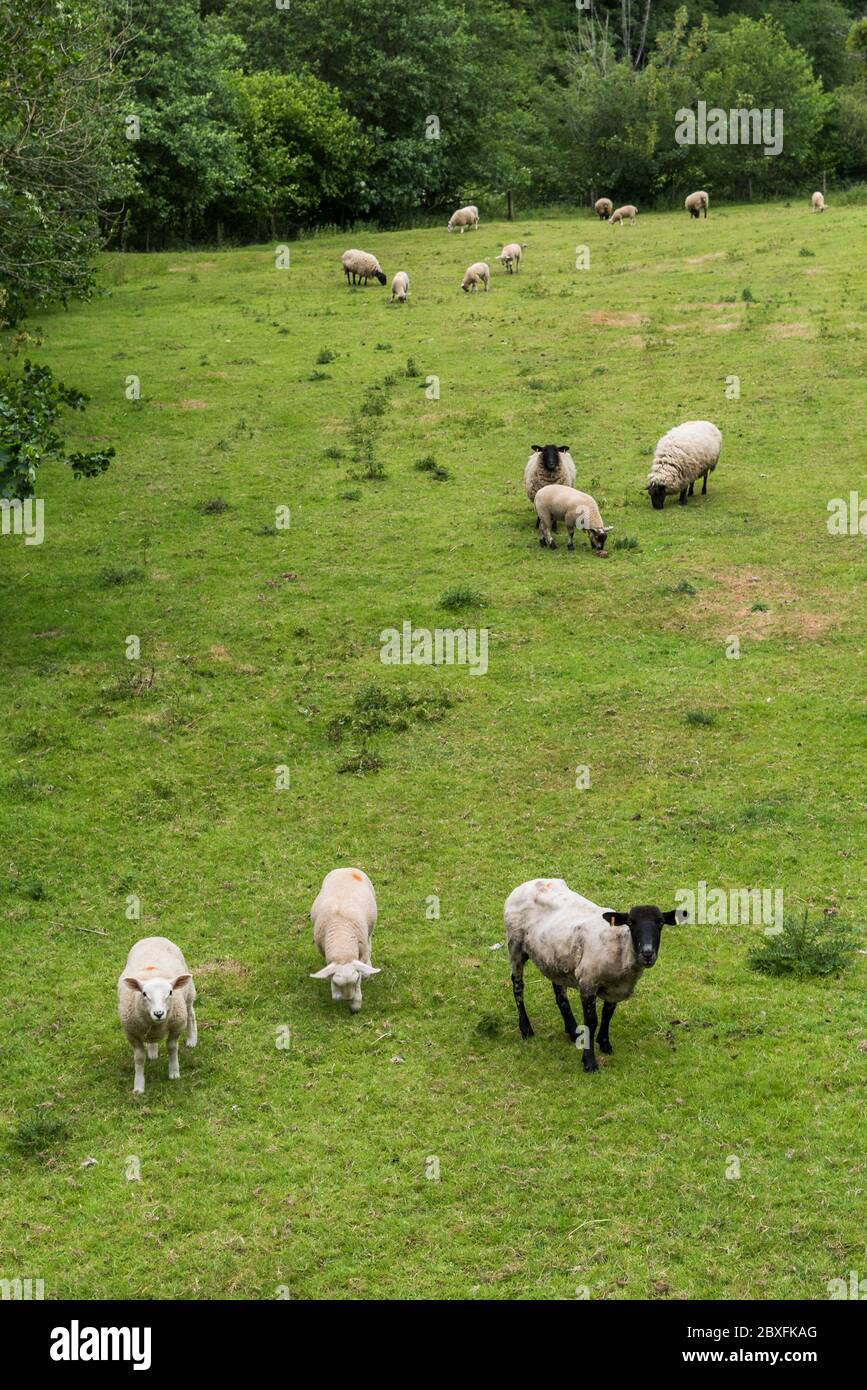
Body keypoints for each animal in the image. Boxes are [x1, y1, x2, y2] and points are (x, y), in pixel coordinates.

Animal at [117, 937, 197, 1094]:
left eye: (170, 992)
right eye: (144, 994)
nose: (158, 1013)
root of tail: (153, 937)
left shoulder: (177, 1025)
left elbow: (172, 1047)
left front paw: (174, 1073)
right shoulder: (131, 1033)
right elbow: (139, 1058)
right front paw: (139, 1086)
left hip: (189, 994)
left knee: (191, 1013)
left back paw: (192, 1040)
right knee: (151, 1039)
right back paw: (152, 1052)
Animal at [310, 868, 380, 1013]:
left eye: (356, 979)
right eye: (336, 982)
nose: (348, 998)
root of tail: (346, 868)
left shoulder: (361, 953)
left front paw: (356, 1004)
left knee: (370, 941)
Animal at [505, 877, 687, 1072]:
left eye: (660, 922)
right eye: (631, 923)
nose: (647, 953)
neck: (622, 948)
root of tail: (528, 883)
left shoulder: (616, 988)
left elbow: (608, 1014)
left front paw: (605, 1044)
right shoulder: (588, 982)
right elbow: (592, 1022)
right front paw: (589, 1061)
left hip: (555, 957)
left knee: (559, 992)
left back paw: (572, 1030)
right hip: (515, 945)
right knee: (518, 985)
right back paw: (526, 1029)